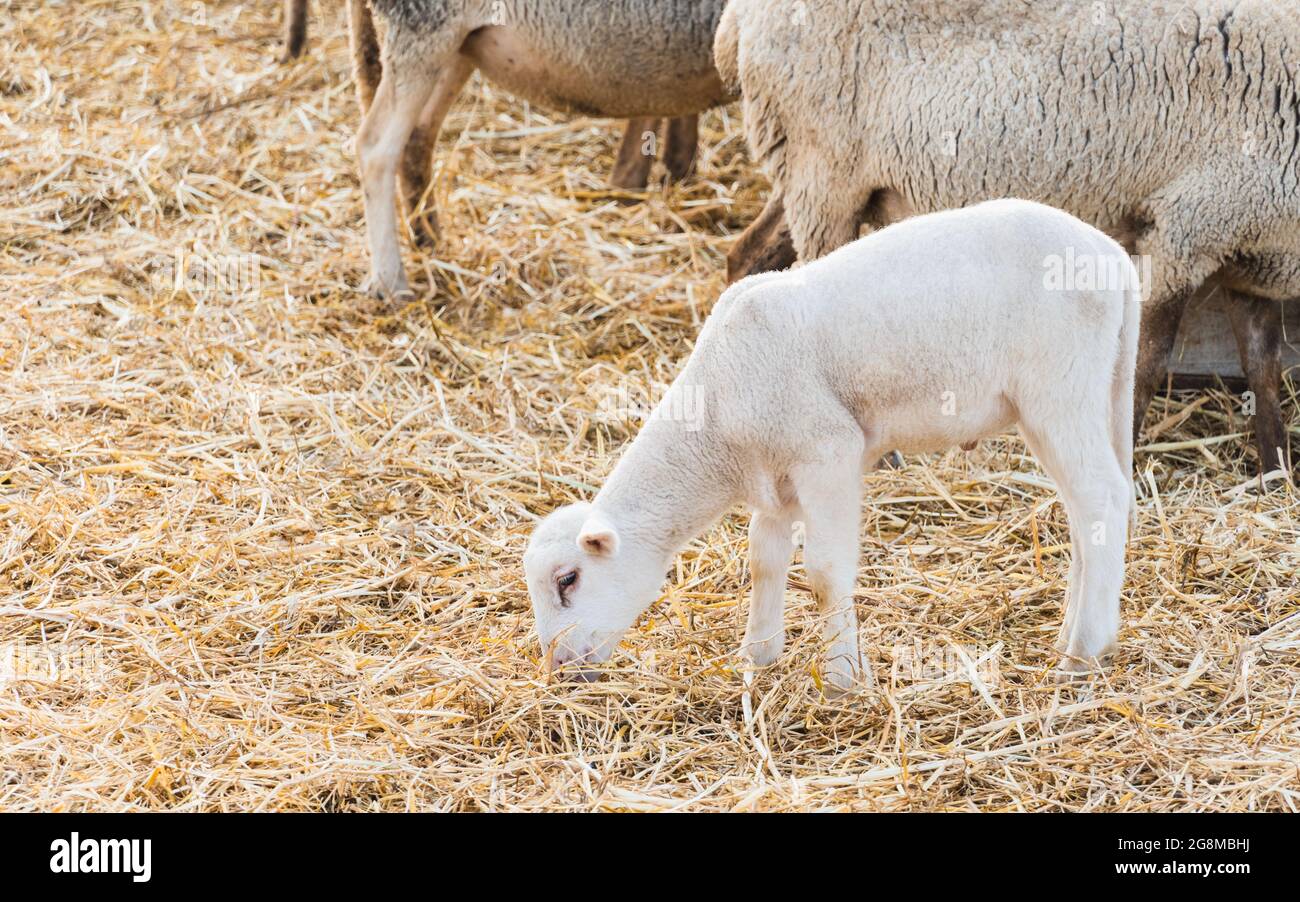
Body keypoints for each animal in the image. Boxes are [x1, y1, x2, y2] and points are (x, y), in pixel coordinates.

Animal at [356, 0, 731, 298]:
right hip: (424, 25)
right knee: (376, 148)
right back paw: (391, 283)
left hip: (460, 42)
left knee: (418, 136)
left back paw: (429, 242)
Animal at [525, 200, 1140, 693]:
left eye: (568, 580)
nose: (559, 669)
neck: (716, 423)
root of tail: (1114, 257)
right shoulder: (775, 477)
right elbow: (763, 559)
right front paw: (758, 657)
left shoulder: (828, 454)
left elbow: (823, 571)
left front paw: (842, 676)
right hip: (1089, 394)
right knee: (1087, 513)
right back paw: (1073, 634)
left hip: (1059, 389)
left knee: (1101, 500)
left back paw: (1084, 652)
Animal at [717, 0, 1300, 476]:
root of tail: (737, 20)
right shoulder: (1185, 228)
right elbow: (1148, 365)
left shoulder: (1250, 254)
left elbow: (1263, 367)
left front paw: (1274, 473)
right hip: (824, 172)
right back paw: (879, 457)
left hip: (807, 172)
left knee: (745, 258)